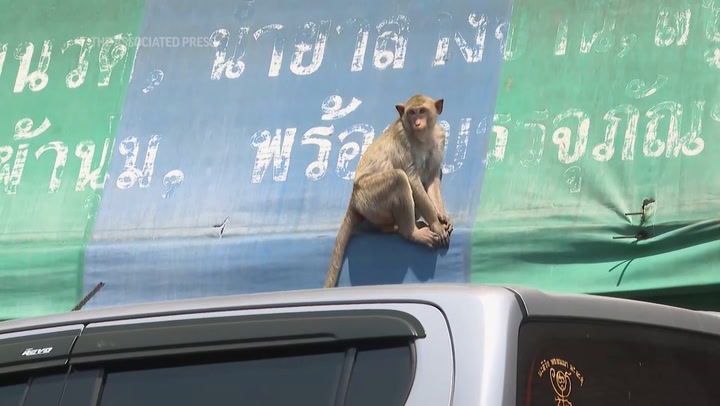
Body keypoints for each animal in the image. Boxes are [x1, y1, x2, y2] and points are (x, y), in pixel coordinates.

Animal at [323, 94, 453, 288]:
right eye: (412, 113)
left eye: (422, 111)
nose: (418, 123)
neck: (423, 137)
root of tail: (353, 199)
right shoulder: (403, 138)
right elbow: (412, 180)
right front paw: (436, 224)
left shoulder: (439, 138)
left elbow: (431, 178)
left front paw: (442, 216)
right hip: (369, 197)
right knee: (399, 178)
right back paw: (411, 233)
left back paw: (393, 228)